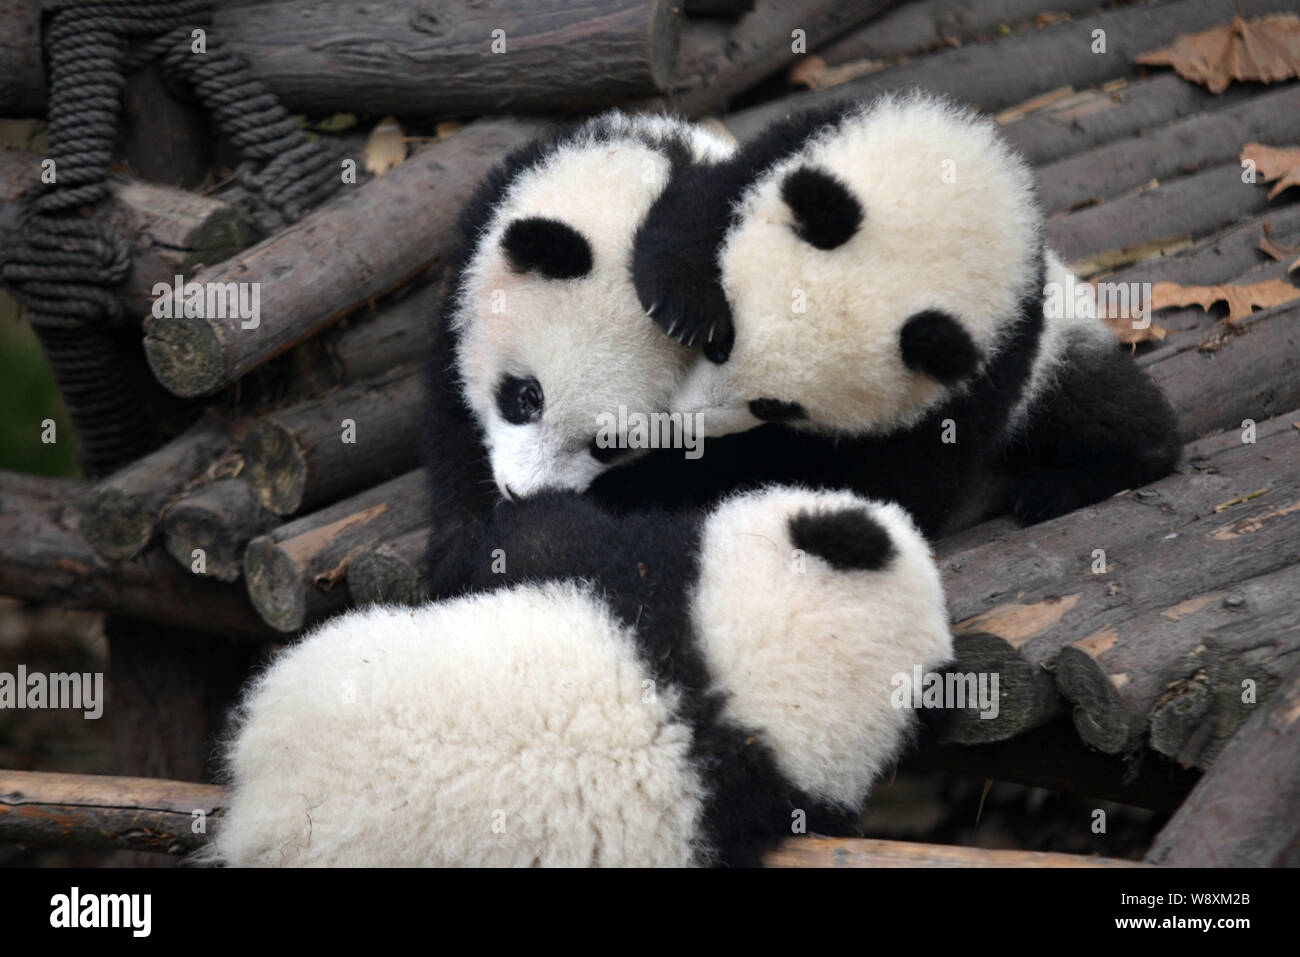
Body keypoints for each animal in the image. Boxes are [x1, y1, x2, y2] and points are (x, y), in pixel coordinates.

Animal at [632, 93, 1180, 528]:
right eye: (721, 345)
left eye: (775, 406)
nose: (687, 420)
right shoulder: (816, 137)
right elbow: (708, 199)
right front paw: (682, 305)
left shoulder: (999, 357)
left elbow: (903, 479)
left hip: (1066, 353)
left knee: (1105, 412)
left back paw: (1056, 487)